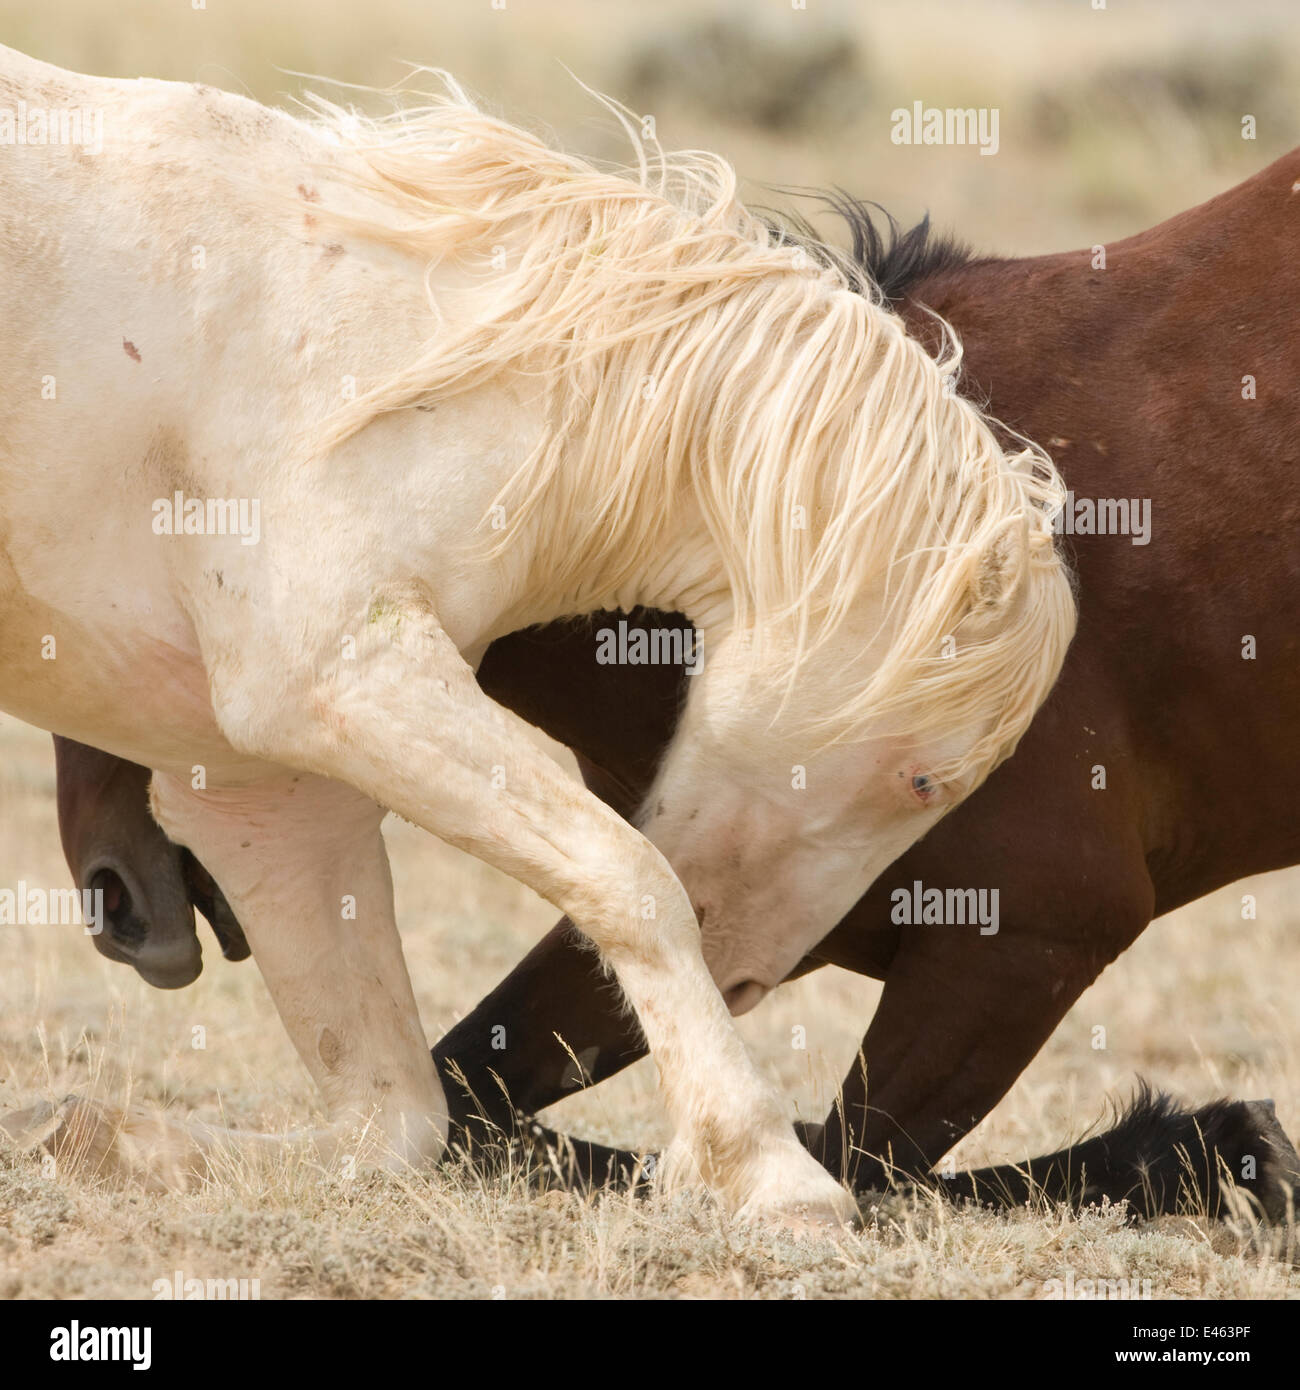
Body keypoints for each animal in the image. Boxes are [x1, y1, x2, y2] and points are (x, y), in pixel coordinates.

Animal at [0, 48, 1072, 1226]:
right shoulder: (345, 678)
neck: (423, 363)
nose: (748, 979)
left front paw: (90, 1136)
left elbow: (392, 1119)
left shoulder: (268, 794)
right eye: (924, 783)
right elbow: (630, 878)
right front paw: (763, 1167)